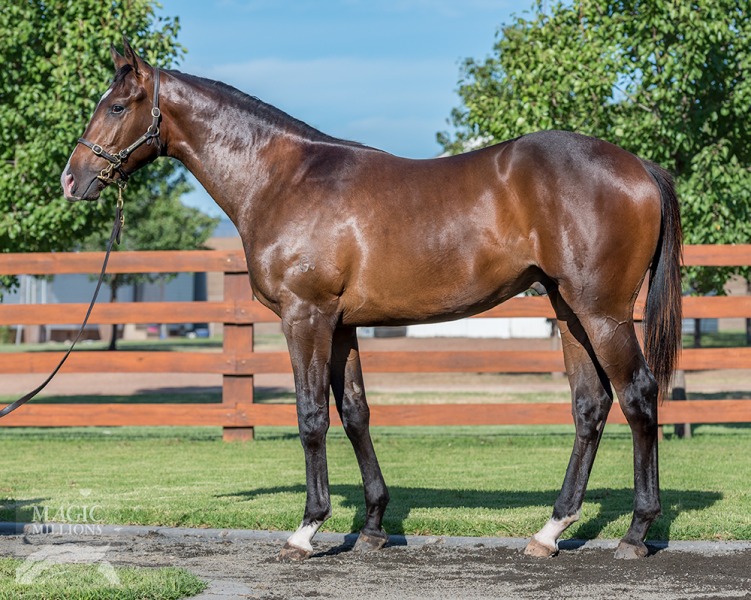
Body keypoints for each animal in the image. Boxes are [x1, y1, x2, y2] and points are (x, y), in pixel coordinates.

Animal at [61, 39, 682, 561]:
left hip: (602, 312)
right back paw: (550, 532)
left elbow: (312, 415)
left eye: (117, 106)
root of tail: (639, 166)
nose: (72, 180)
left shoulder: (305, 316)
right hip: (568, 309)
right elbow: (355, 412)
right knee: (590, 406)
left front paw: (307, 529)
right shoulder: (341, 324)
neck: (283, 178)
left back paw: (635, 533)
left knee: (637, 396)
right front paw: (375, 527)